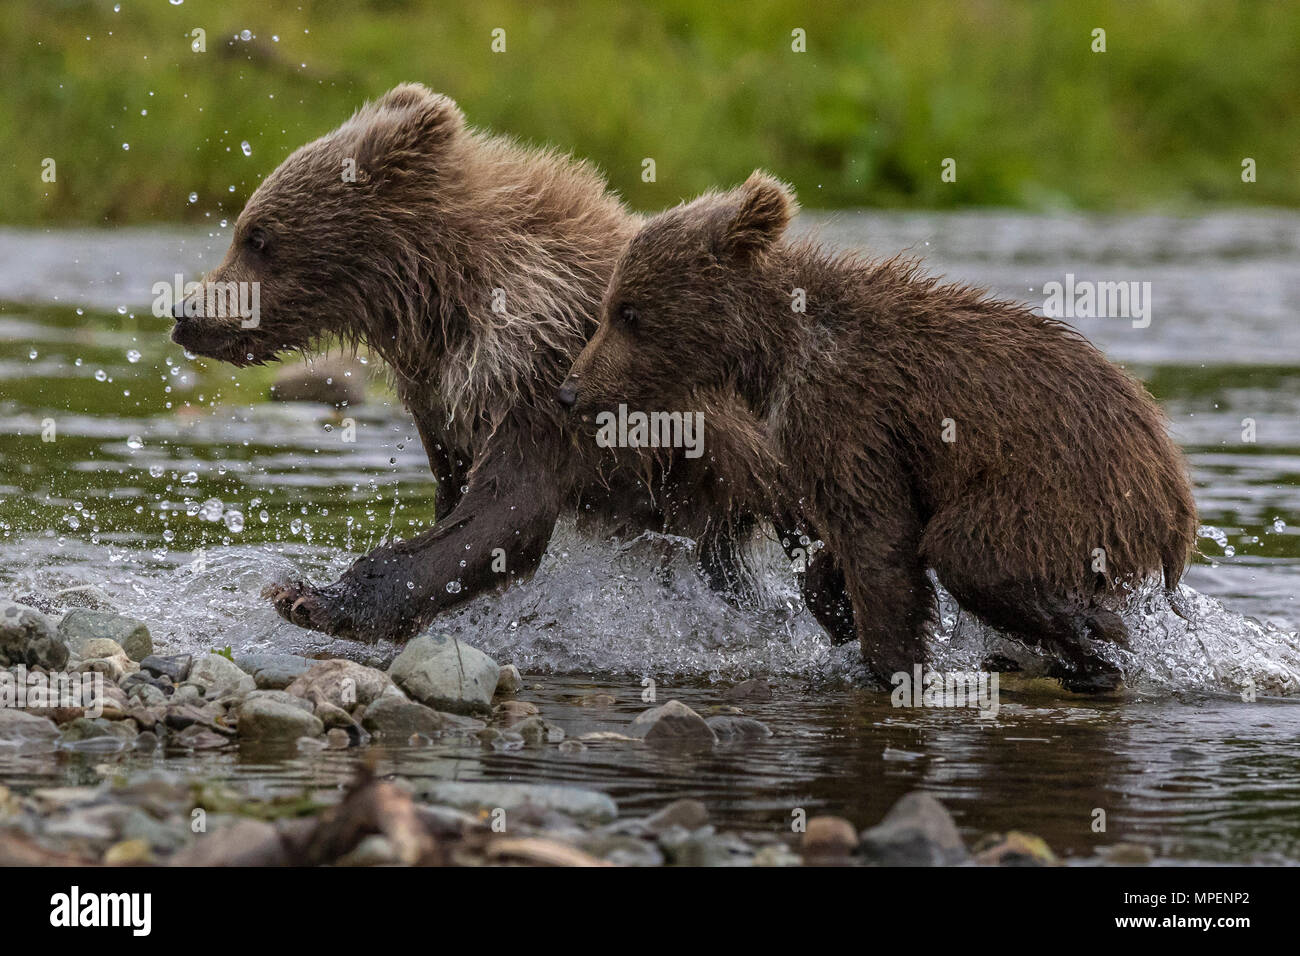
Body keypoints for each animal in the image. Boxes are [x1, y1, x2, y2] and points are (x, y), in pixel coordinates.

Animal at [170, 86, 855, 643]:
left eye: (257, 236)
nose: (185, 313)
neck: (447, 300)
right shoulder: (445, 396)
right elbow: (459, 495)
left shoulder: (545, 373)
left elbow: (505, 512)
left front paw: (312, 596)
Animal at [558, 171, 1200, 692]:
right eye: (610, 306)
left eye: (627, 312)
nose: (570, 390)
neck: (774, 349)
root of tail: (1173, 478)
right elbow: (845, 545)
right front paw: (837, 607)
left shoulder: (847, 409)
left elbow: (878, 537)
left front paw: (892, 662)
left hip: (1061, 489)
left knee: (974, 553)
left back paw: (1092, 642)